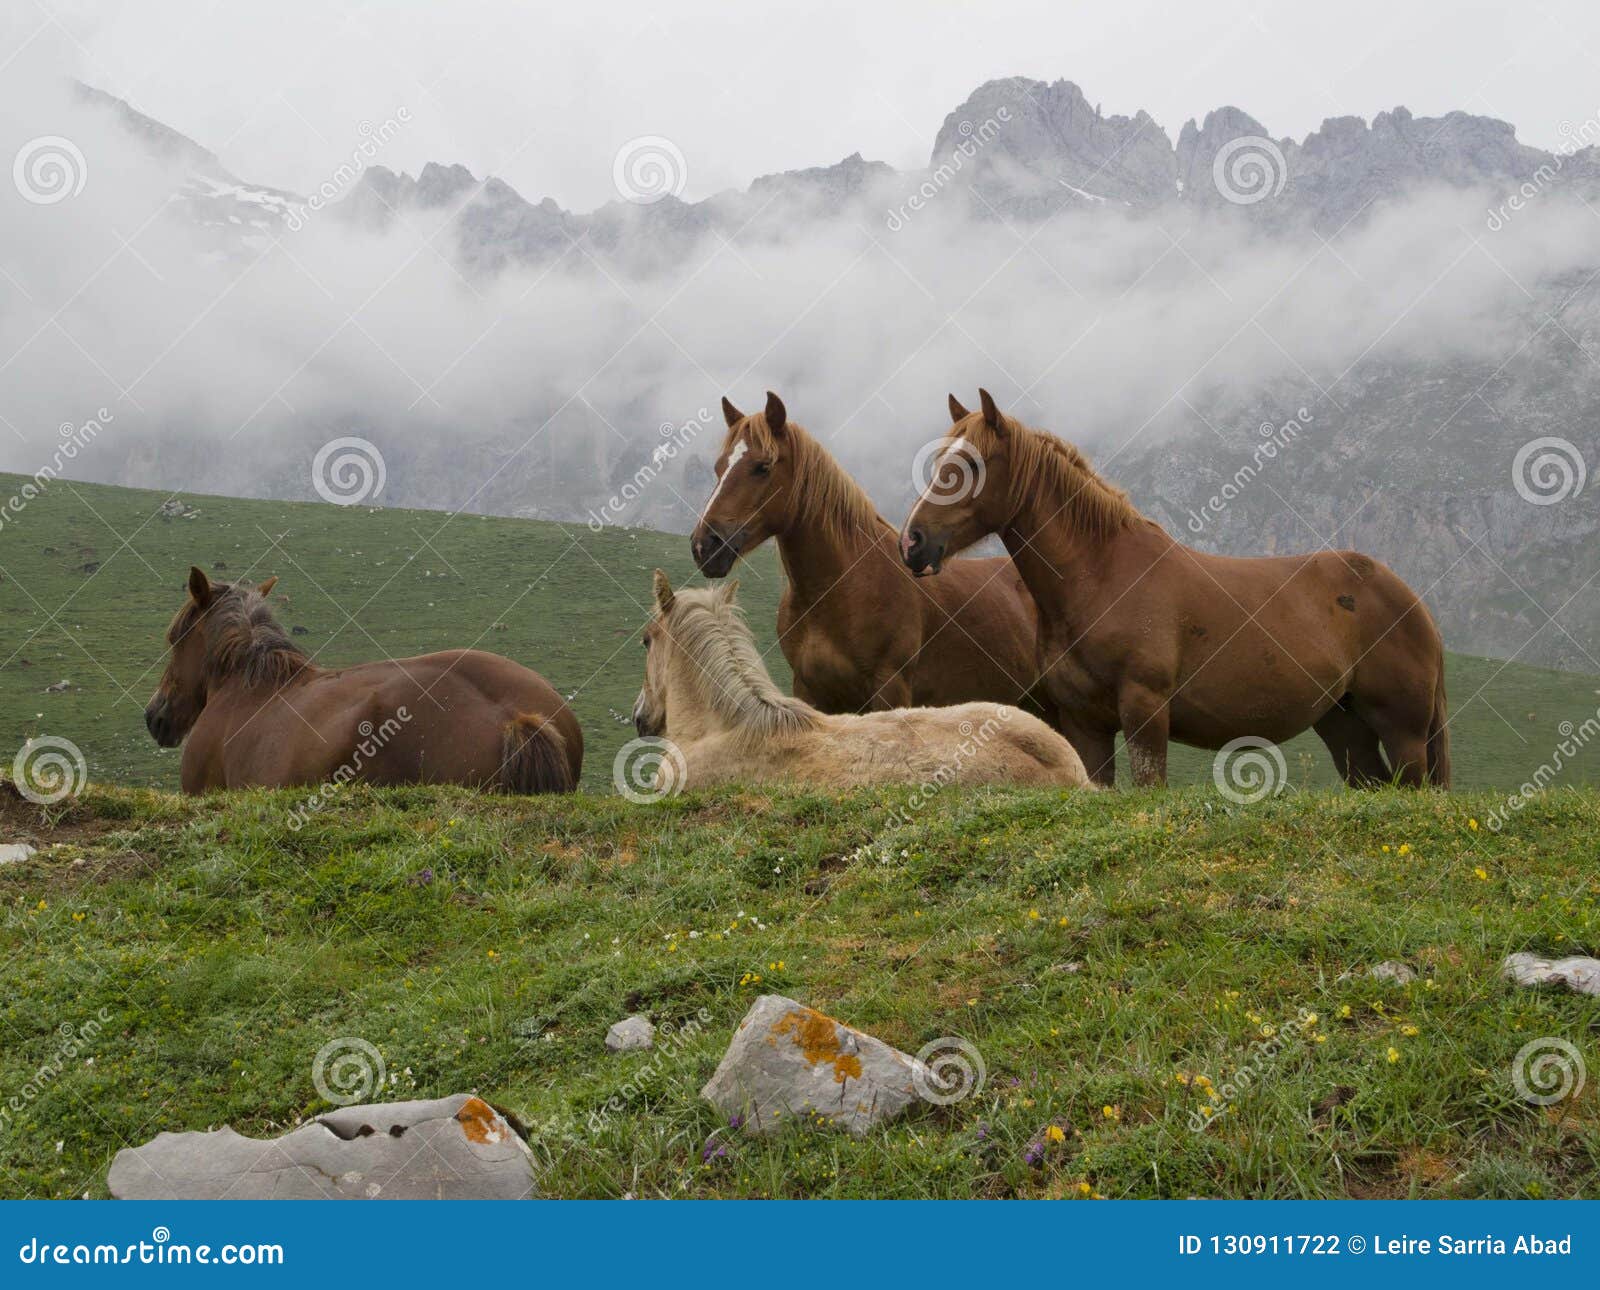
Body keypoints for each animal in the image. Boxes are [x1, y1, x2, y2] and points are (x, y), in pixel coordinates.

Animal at [689, 391, 1046, 717]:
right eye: (719, 467)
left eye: (762, 467)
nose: (704, 545)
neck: (843, 588)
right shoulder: (809, 691)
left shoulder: (890, 690)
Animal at [899, 390, 1450, 789]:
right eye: (939, 462)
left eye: (971, 465)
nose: (913, 543)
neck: (1102, 574)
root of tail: (1412, 601)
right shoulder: (1085, 725)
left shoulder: (1145, 712)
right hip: (1344, 726)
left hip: (1403, 732)